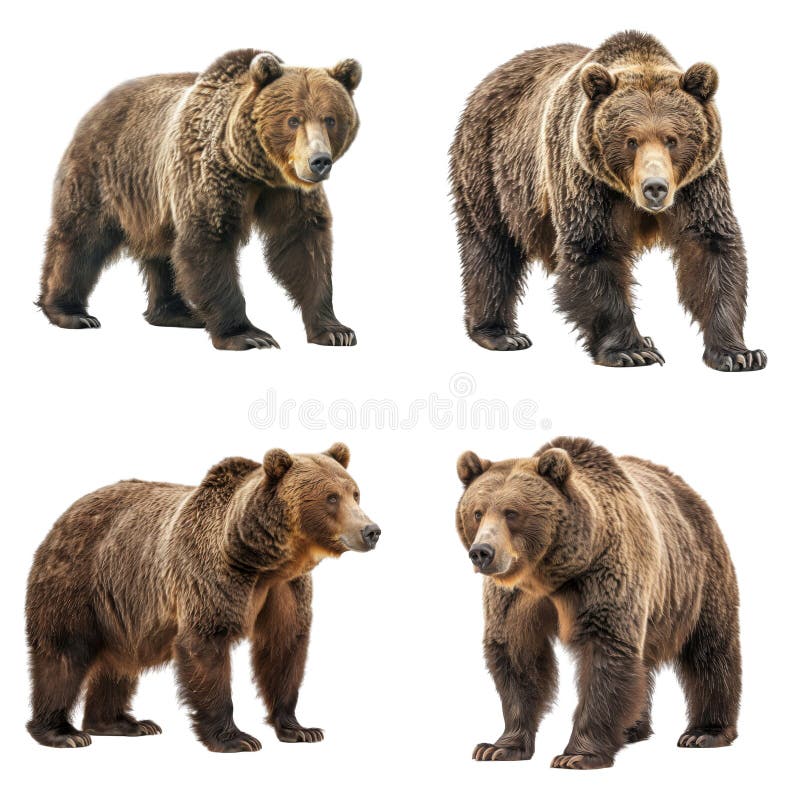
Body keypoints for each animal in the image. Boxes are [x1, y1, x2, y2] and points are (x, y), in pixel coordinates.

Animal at [25, 443, 381, 751]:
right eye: (331, 497)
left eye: (355, 492)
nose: (371, 530)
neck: (263, 562)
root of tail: (67, 512)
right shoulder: (209, 577)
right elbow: (206, 646)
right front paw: (236, 738)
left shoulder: (286, 589)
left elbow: (284, 648)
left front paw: (301, 729)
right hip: (79, 579)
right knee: (63, 653)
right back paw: (63, 732)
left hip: (122, 609)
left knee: (119, 662)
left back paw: (122, 723)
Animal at [37, 49, 362, 350]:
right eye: (293, 120)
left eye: (330, 119)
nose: (319, 162)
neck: (257, 168)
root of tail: (98, 104)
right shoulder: (211, 175)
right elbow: (208, 242)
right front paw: (248, 335)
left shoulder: (288, 191)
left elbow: (302, 244)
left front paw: (335, 331)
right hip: (105, 171)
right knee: (81, 236)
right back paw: (71, 313)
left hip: (154, 200)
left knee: (164, 251)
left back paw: (177, 313)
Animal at [450, 31, 766, 371]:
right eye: (631, 141)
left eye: (672, 139)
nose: (655, 187)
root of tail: (490, 78)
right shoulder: (585, 180)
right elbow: (593, 250)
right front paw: (632, 350)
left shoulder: (699, 185)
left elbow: (710, 249)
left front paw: (739, 353)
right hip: (491, 169)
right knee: (491, 248)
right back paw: (500, 334)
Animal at [455, 436, 741, 769]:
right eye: (477, 512)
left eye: (512, 512)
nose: (482, 552)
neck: (551, 572)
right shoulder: (517, 597)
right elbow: (517, 656)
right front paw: (497, 747)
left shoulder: (602, 577)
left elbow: (604, 653)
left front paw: (577, 754)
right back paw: (632, 727)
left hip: (696, 578)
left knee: (710, 649)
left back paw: (704, 732)